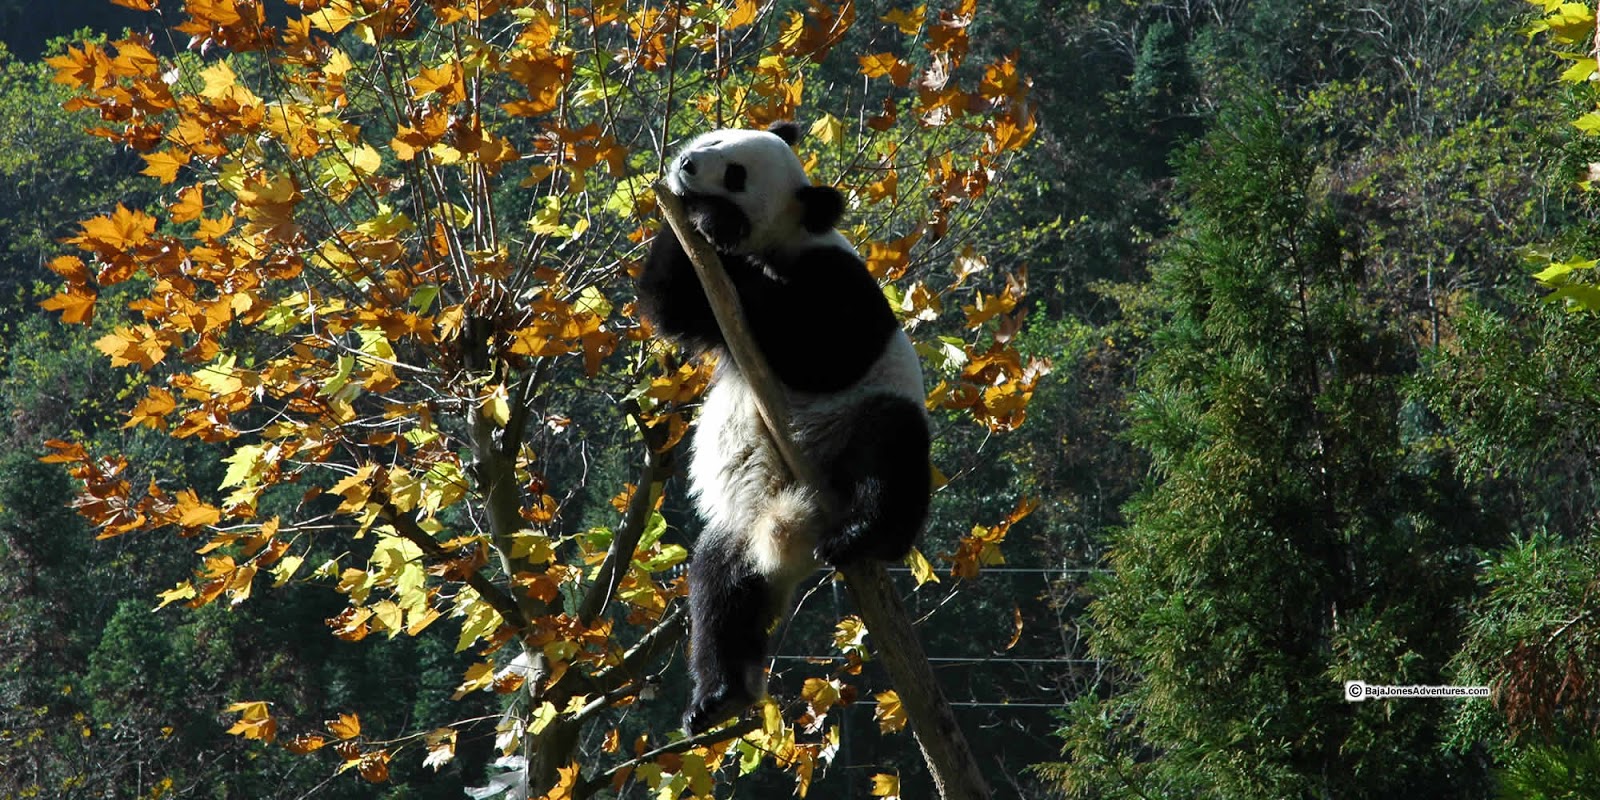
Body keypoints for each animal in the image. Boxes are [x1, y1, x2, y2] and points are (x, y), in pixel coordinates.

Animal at [636, 122, 932, 735]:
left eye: (737, 176)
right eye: (717, 140)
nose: (690, 166)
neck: (785, 240)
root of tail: (795, 522)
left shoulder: (839, 280)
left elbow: (818, 347)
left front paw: (711, 220)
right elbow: (671, 302)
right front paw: (687, 213)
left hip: (853, 431)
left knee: (893, 443)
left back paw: (866, 534)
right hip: (740, 532)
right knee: (719, 589)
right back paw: (719, 695)